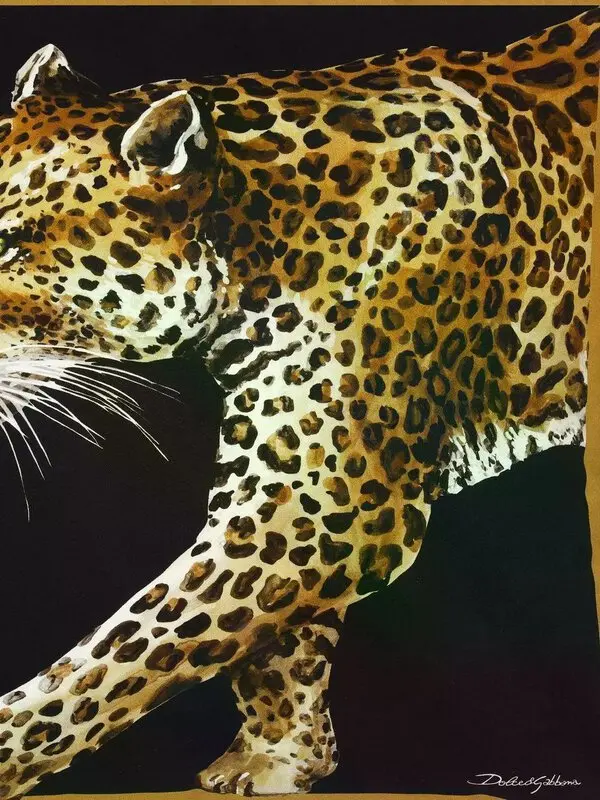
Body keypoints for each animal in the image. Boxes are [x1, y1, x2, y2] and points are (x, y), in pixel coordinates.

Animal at [0, 6, 598, 798]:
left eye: (9, 246)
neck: (261, 228)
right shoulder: (292, 485)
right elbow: (273, 646)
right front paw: (278, 758)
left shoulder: (327, 500)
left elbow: (108, 667)